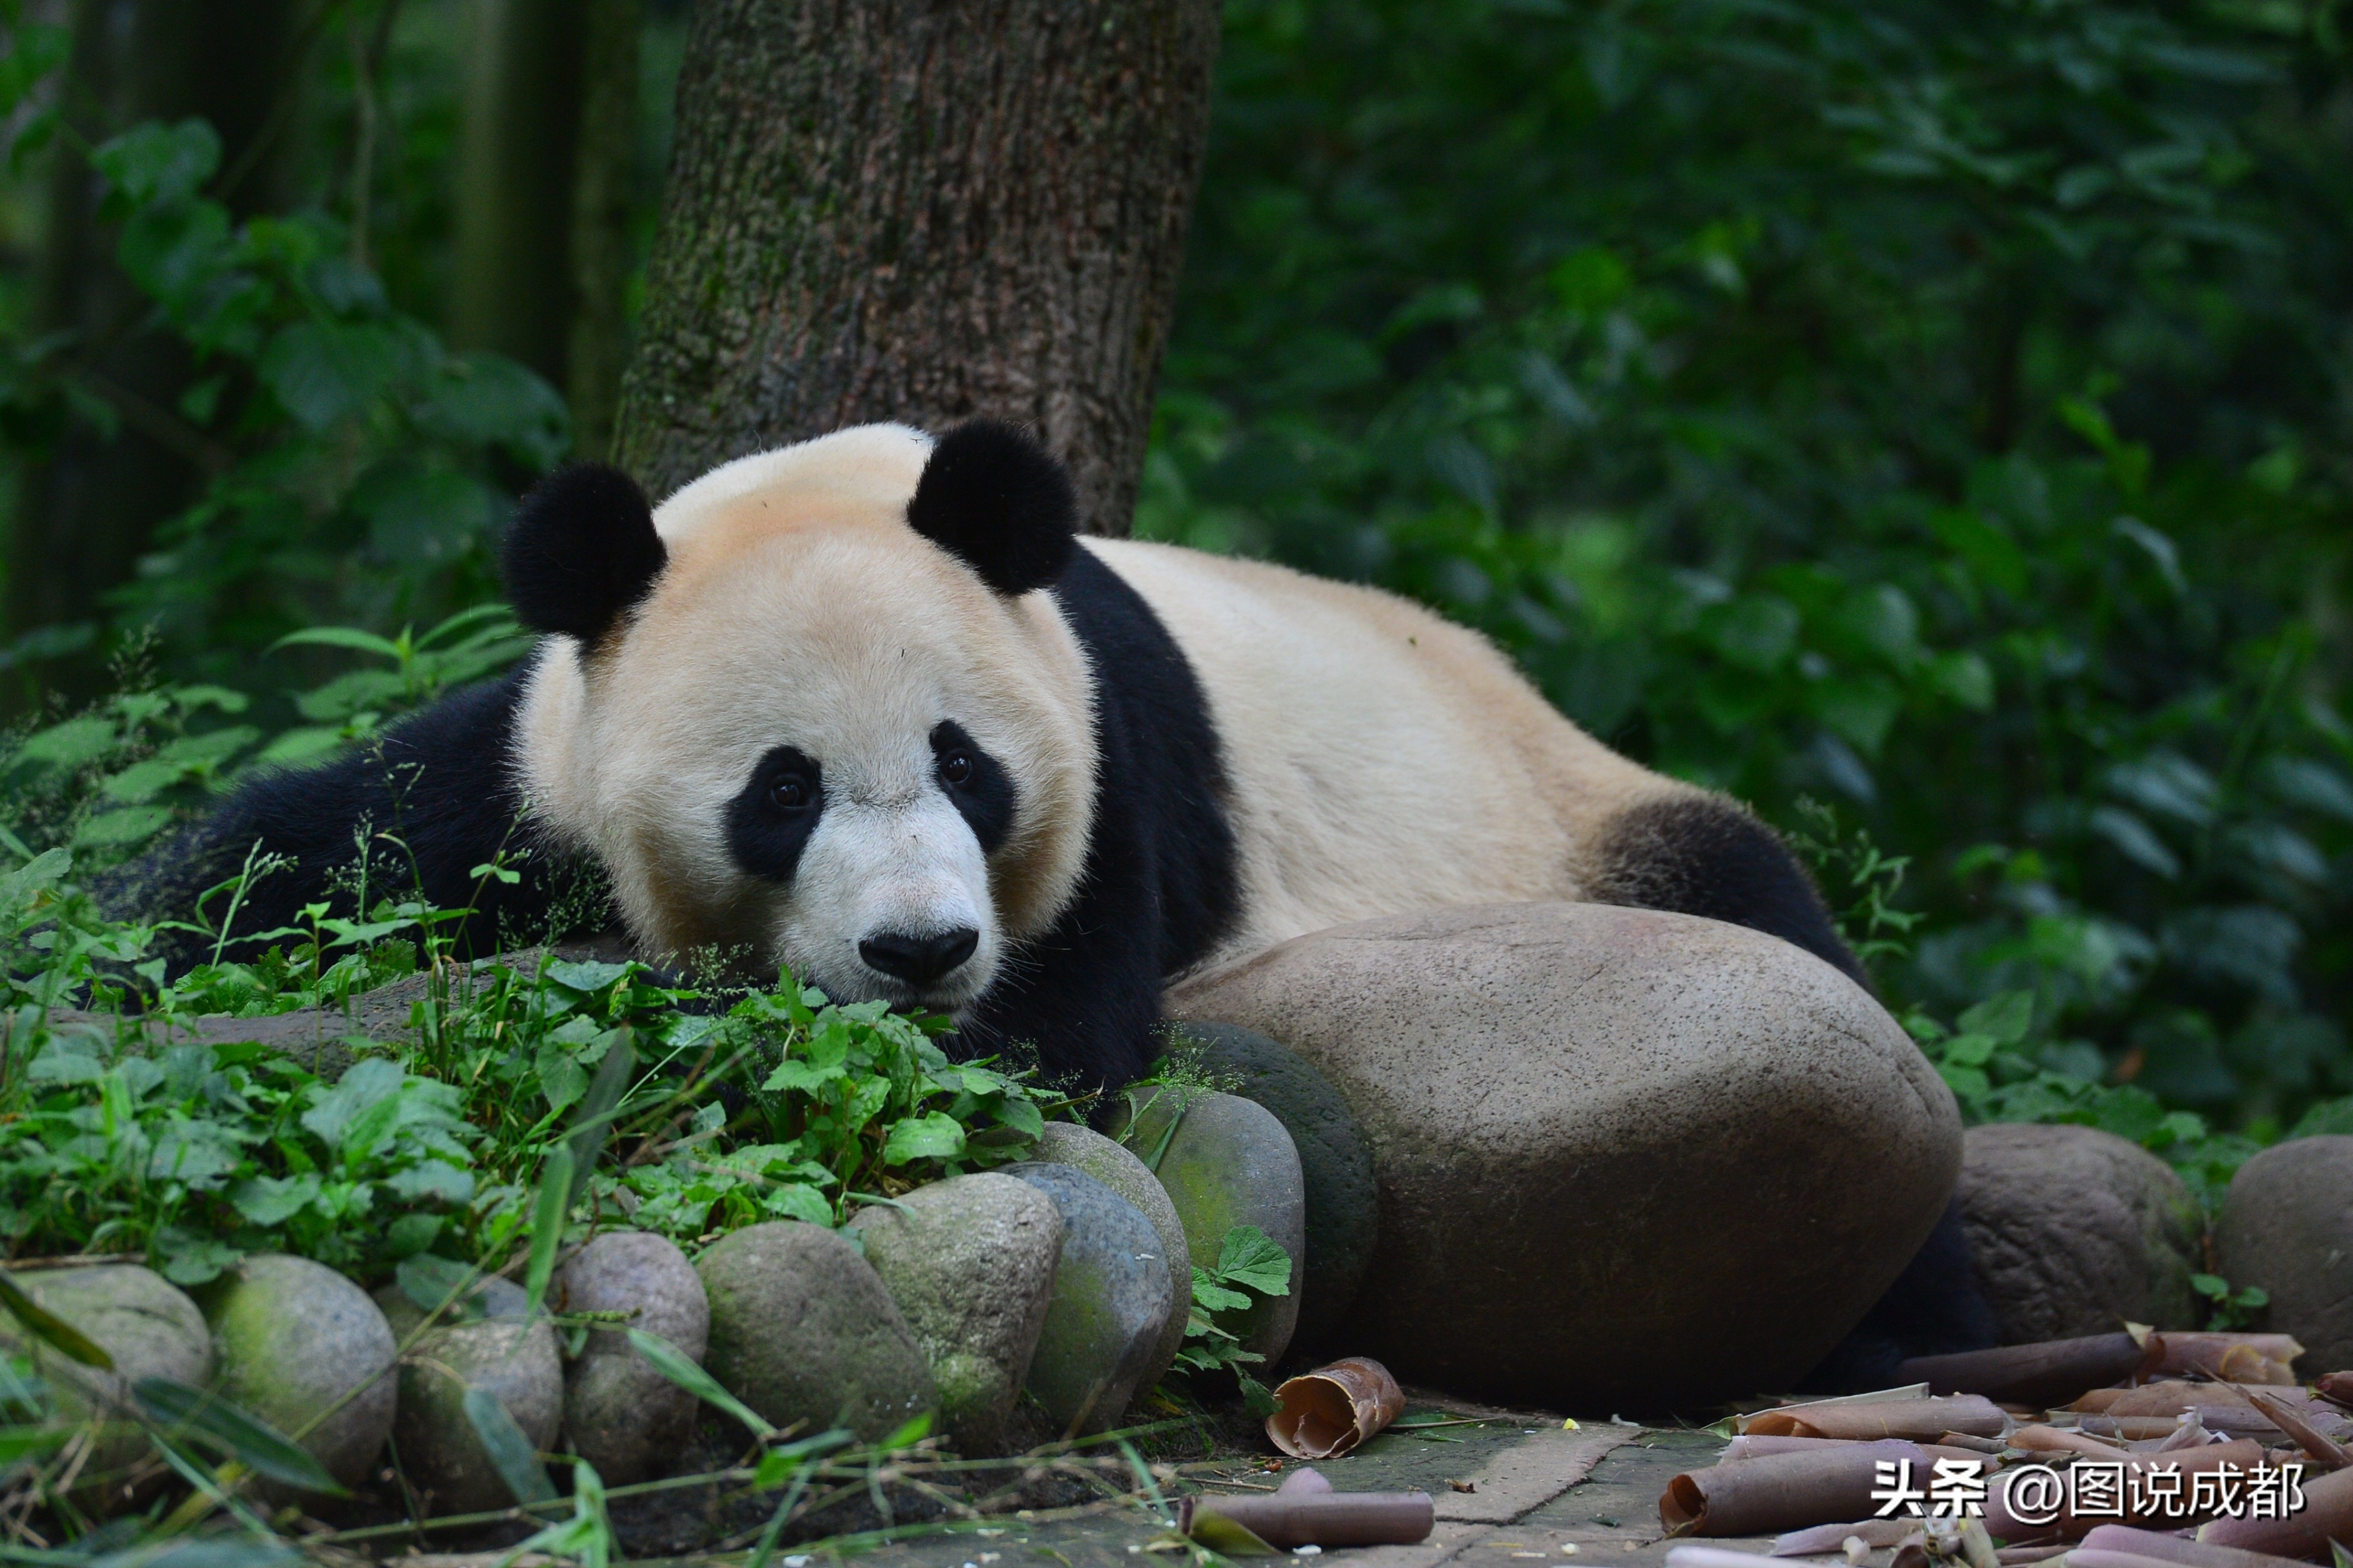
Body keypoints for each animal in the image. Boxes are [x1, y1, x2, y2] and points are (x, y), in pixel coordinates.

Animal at [129, 419, 1992, 1386]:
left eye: (966, 766)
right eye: (781, 789)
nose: (920, 949)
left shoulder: (1113, 764)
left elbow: (1053, 1026)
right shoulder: (539, 757)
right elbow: (318, 846)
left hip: (1576, 814)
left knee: (1789, 954)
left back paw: (1897, 1320)